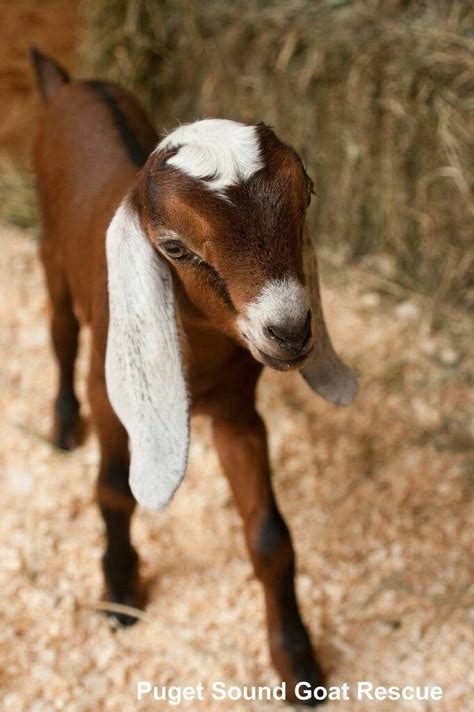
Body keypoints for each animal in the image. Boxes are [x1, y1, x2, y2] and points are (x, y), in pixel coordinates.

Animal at [31, 49, 357, 705]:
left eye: (307, 194)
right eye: (175, 247)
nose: (290, 330)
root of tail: (71, 84)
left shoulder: (238, 413)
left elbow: (270, 537)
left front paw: (297, 661)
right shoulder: (113, 398)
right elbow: (113, 492)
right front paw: (119, 593)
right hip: (50, 251)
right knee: (60, 330)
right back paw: (62, 425)